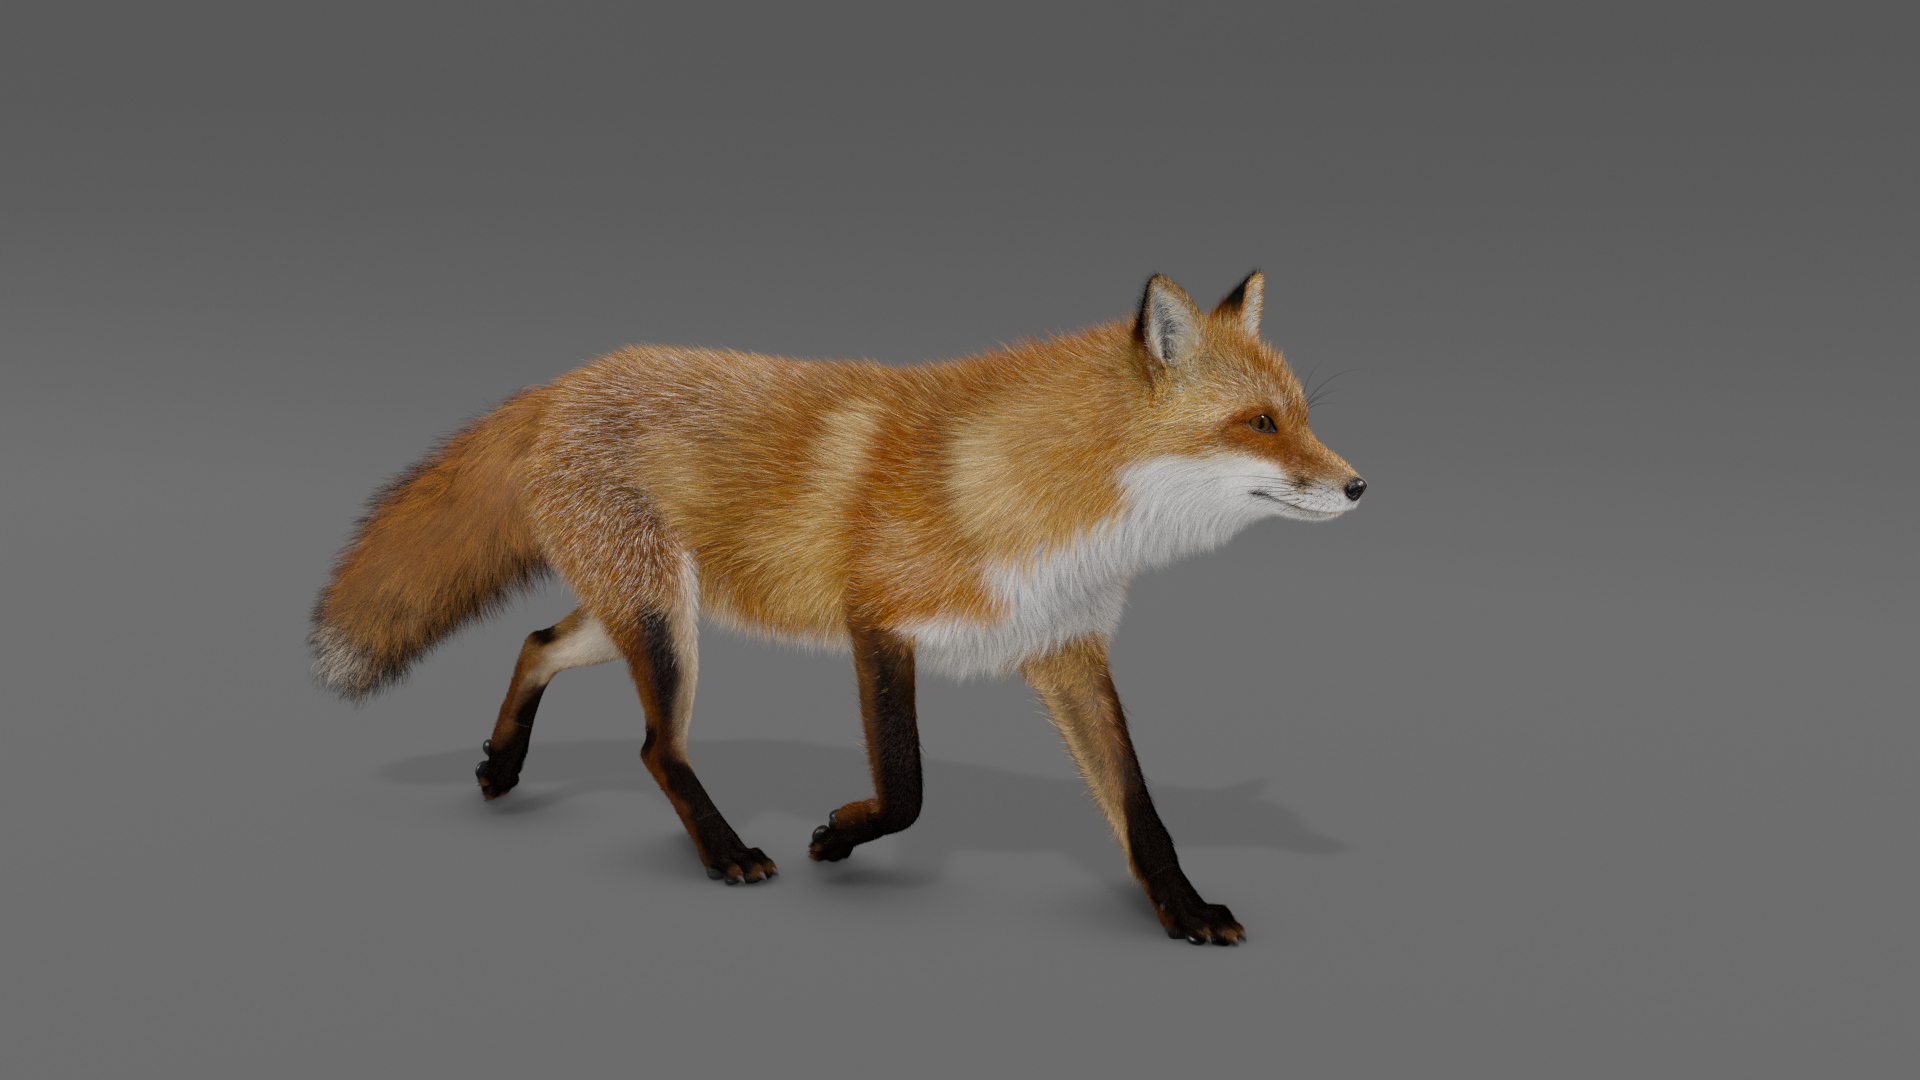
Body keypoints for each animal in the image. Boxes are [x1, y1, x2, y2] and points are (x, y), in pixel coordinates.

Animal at [310, 271, 1364, 944]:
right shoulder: (880, 622)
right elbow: (907, 788)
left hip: (637, 612)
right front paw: (838, 836)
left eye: (1304, 416)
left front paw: (1183, 910)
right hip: (664, 624)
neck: (1043, 497)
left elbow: (1141, 810)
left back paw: (502, 765)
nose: (1360, 486)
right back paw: (724, 850)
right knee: (656, 746)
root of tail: (560, 383)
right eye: (1260, 424)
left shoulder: (1065, 648)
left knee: (535, 641)